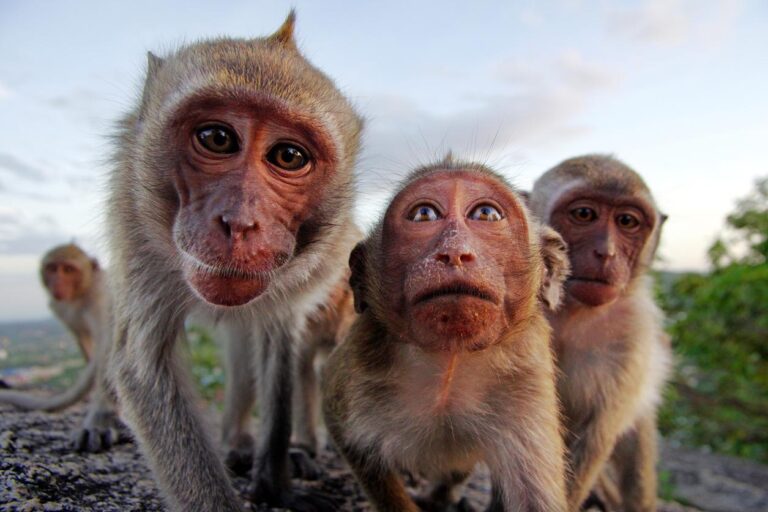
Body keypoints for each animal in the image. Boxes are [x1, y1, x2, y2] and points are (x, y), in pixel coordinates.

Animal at [0, 243, 121, 452]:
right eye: (52, 268)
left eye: (69, 269)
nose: (58, 283)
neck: (80, 295)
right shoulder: (59, 307)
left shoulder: (99, 298)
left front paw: (100, 419)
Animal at [106, 12, 362, 512]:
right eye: (217, 138)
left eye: (288, 156)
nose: (240, 223)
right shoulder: (135, 225)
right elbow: (144, 367)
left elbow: (278, 341)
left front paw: (276, 482)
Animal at [322, 158, 571, 512]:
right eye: (424, 214)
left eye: (486, 214)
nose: (454, 253)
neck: (449, 360)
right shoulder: (360, 364)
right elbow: (353, 443)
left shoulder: (526, 374)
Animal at [528, 154, 671, 511]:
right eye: (584, 214)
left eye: (627, 221)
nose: (606, 253)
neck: (573, 312)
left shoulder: (632, 337)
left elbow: (594, 436)